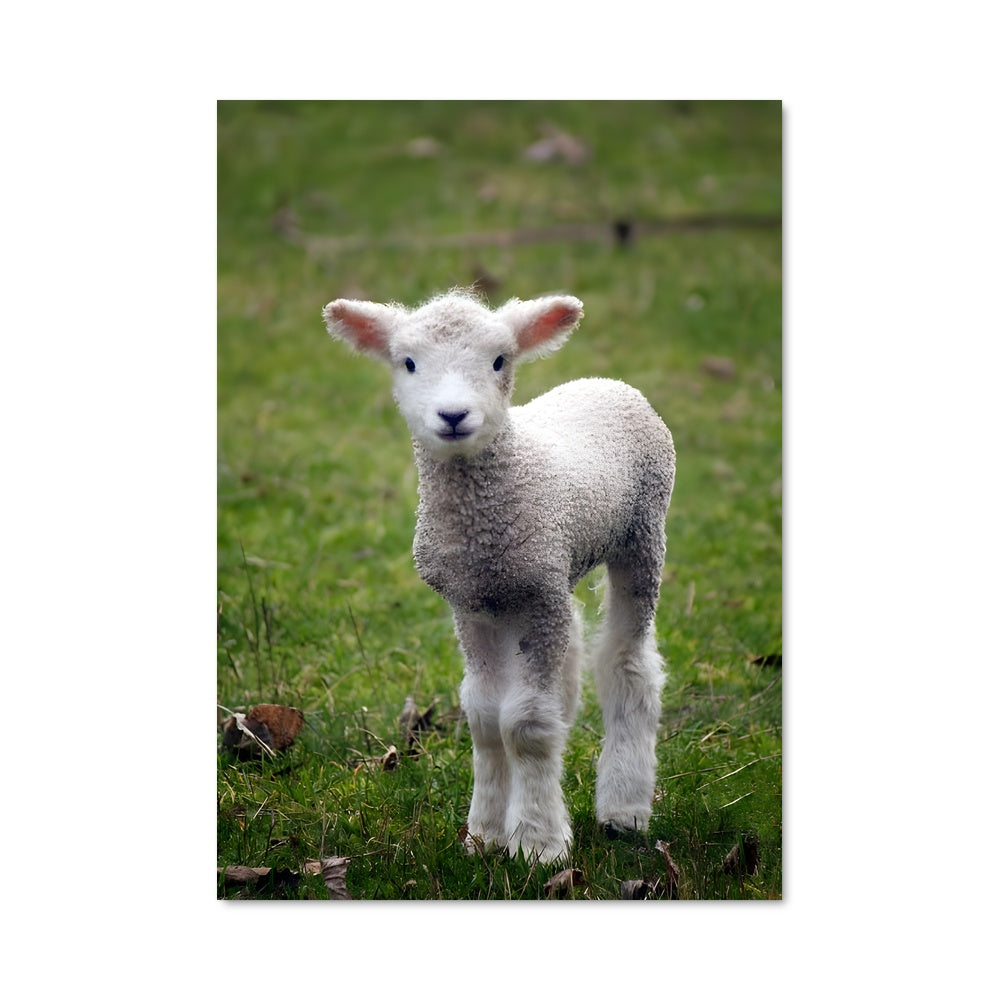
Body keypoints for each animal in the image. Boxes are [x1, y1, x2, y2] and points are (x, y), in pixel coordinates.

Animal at [323, 289, 675, 864]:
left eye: (498, 361)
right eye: (408, 362)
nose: (453, 414)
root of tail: (606, 382)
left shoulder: (536, 599)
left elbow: (526, 725)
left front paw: (537, 842)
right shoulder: (472, 604)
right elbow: (487, 720)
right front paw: (484, 834)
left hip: (641, 534)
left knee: (628, 663)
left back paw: (624, 810)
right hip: (552, 572)